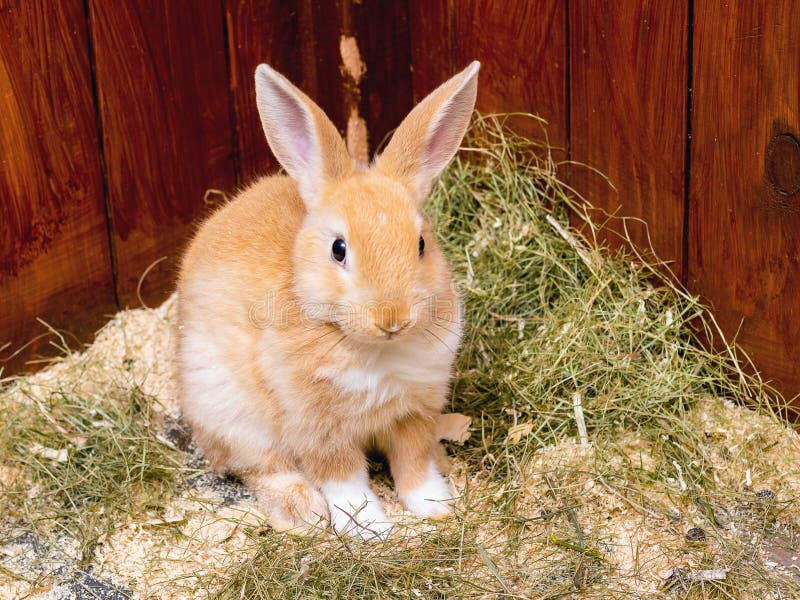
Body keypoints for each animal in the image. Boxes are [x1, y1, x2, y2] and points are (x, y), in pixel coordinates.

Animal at [176, 60, 479, 538]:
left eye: (421, 244)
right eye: (338, 249)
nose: (392, 318)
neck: (373, 350)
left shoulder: (415, 412)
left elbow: (414, 464)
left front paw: (435, 507)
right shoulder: (318, 428)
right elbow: (343, 478)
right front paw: (371, 529)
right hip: (230, 412)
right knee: (260, 468)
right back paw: (303, 512)